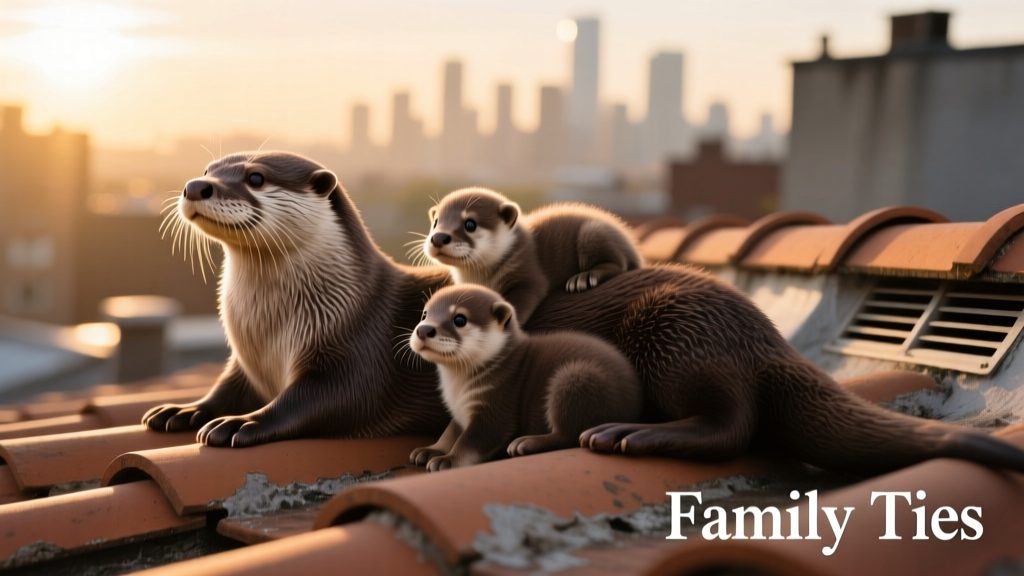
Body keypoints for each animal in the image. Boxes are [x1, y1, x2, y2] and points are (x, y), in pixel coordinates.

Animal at [408, 285, 642, 471]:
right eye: (425, 314)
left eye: (459, 319)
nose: (424, 329)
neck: (458, 388)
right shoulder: (459, 409)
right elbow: (450, 432)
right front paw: (432, 449)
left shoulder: (498, 403)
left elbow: (474, 438)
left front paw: (448, 459)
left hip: (575, 381)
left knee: (572, 434)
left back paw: (527, 443)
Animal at [422, 187, 642, 323]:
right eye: (436, 222)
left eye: (470, 224)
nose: (438, 237)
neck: (480, 278)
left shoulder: (528, 273)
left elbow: (523, 299)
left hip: (592, 233)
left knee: (620, 264)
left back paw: (585, 278)